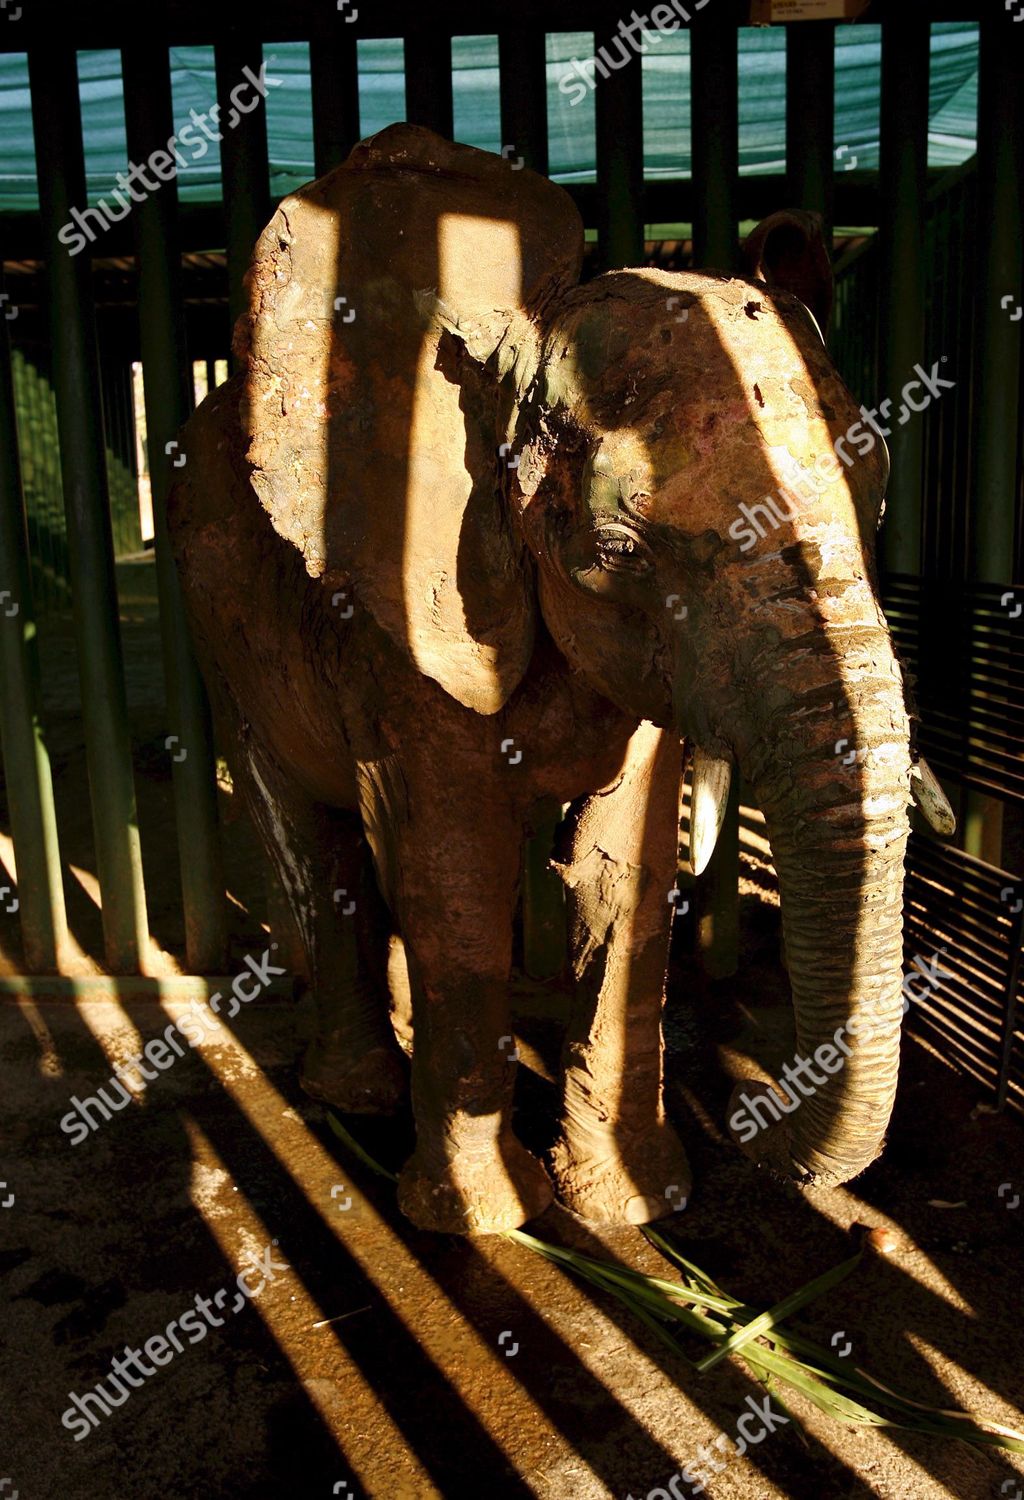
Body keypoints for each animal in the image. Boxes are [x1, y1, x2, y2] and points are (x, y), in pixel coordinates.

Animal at [169, 123, 954, 1235]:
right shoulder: (401, 612)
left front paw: (630, 1206)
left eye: (876, 498)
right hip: (214, 618)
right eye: (619, 552)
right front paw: (484, 1221)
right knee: (314, 840)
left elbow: (625, 870)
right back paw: (356, 1095)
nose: (753, 1121)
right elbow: (456, 866)